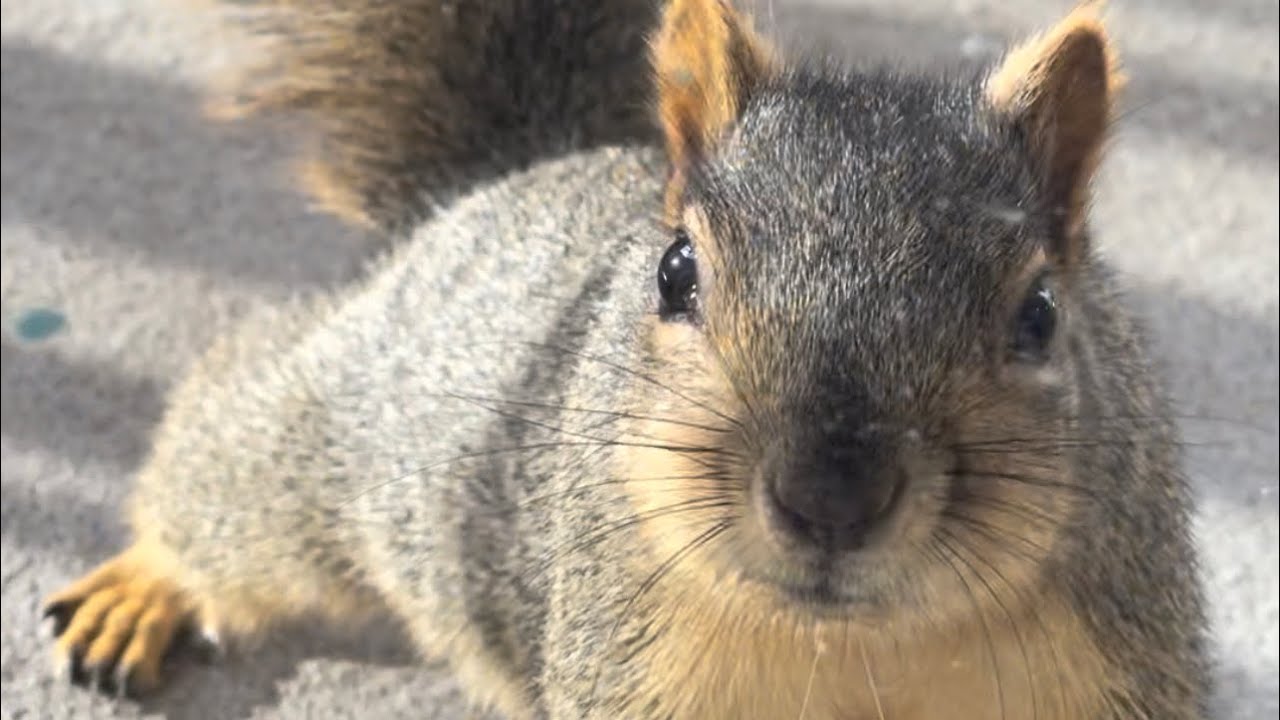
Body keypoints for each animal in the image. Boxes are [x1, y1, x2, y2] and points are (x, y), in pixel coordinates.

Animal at [41, 0, 1211, 717]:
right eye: (675, 272)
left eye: (1040, 314)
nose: (829, 496)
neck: (852, 654)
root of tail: (503, 180)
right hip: (327, 435)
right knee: (227, 455)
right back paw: (144, 586)